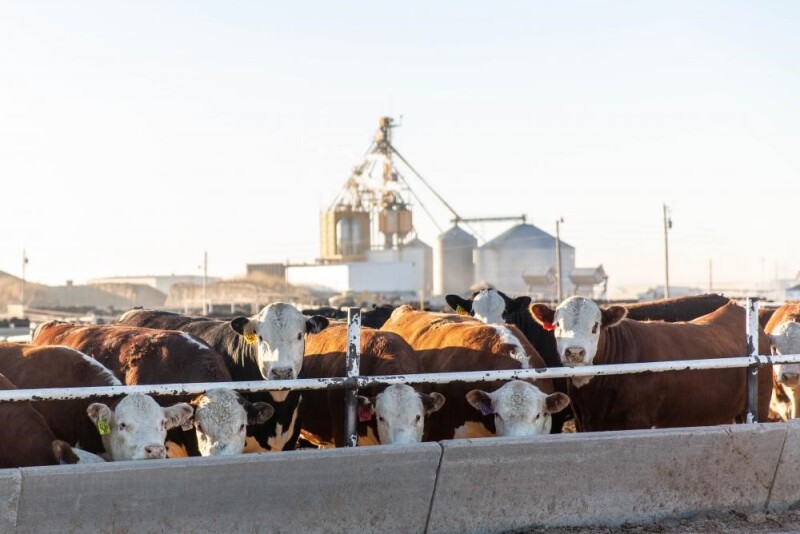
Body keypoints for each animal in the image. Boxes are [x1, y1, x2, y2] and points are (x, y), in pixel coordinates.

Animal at [529, 297, 772, 431]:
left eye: (595, 325)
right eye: (557, 325)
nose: (575, 352)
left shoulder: (637, 421)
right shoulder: (584, 423)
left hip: (758, 405)